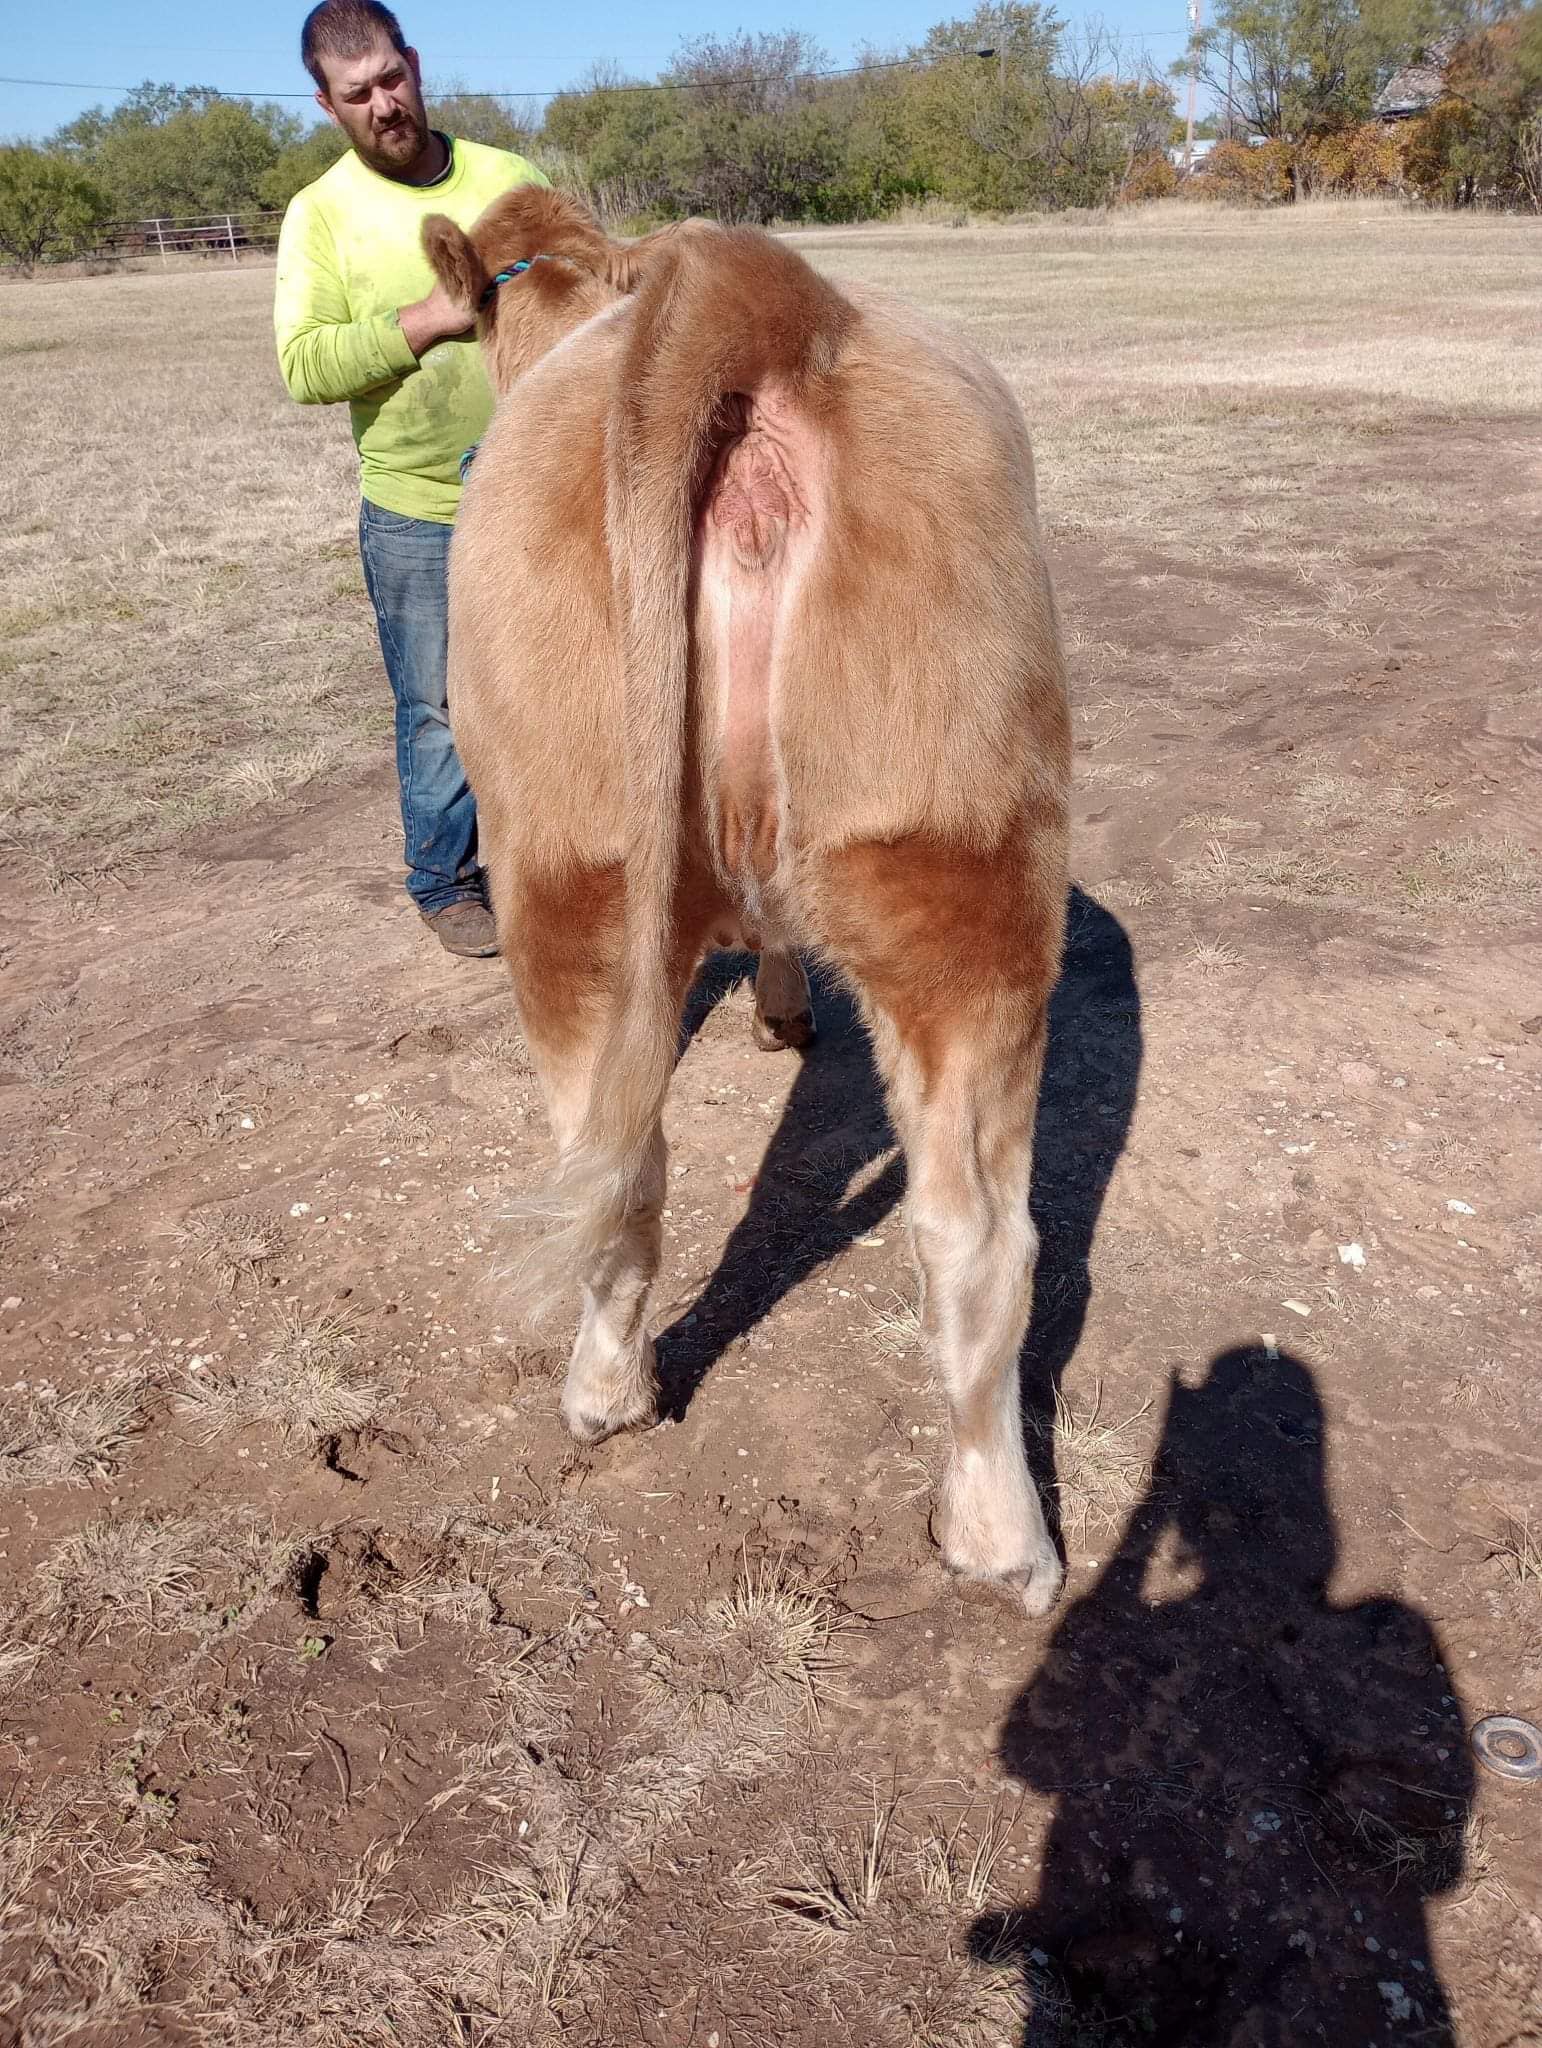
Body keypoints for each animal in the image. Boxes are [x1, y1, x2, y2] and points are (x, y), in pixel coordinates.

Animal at [423, 188, 1072, 1618]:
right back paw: (996, 1534)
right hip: (941, 859)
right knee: (971, 1233)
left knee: (643, 1177)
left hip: (585, 868)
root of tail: (758, 287)